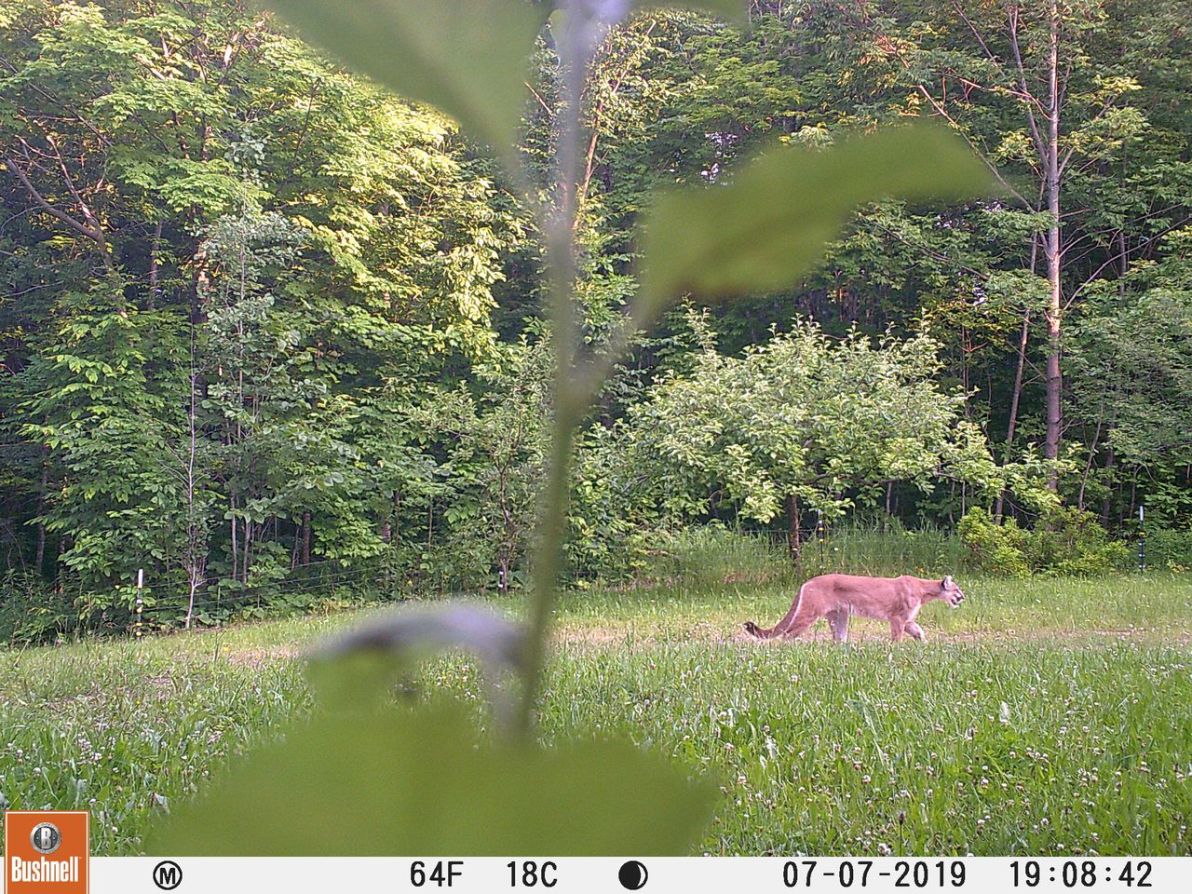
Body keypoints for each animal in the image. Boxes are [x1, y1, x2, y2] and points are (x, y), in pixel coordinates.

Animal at [743, 573, 966, 643]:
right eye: (957, 589)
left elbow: (919, 631)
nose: (963, 597)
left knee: (839, 639)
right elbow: (897, 638)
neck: (923, 589)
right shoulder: (897, 618)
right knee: (787, 634)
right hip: (810, 612)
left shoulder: (908, 620)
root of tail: (807, 581)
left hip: (838, 616)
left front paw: (923, 644)